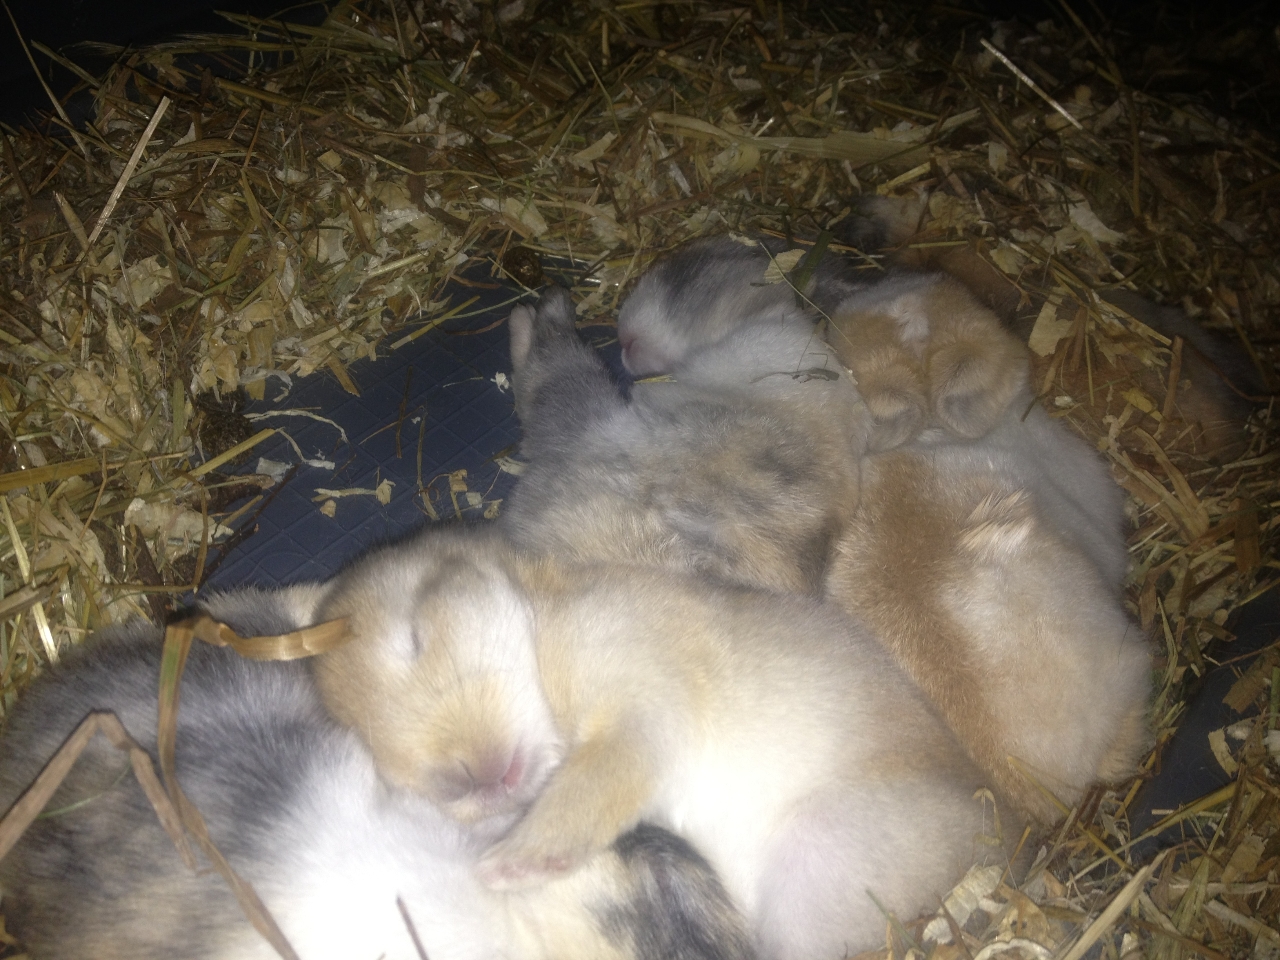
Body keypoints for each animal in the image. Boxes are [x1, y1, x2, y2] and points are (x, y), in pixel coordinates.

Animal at [311, 522, 1014, 960]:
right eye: (374, 750)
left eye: (414, 638)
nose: (462, 779)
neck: (539, 626)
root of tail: (992, 832)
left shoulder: (637, 715)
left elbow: (589, 791)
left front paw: (502, 866)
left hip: (822, 854)